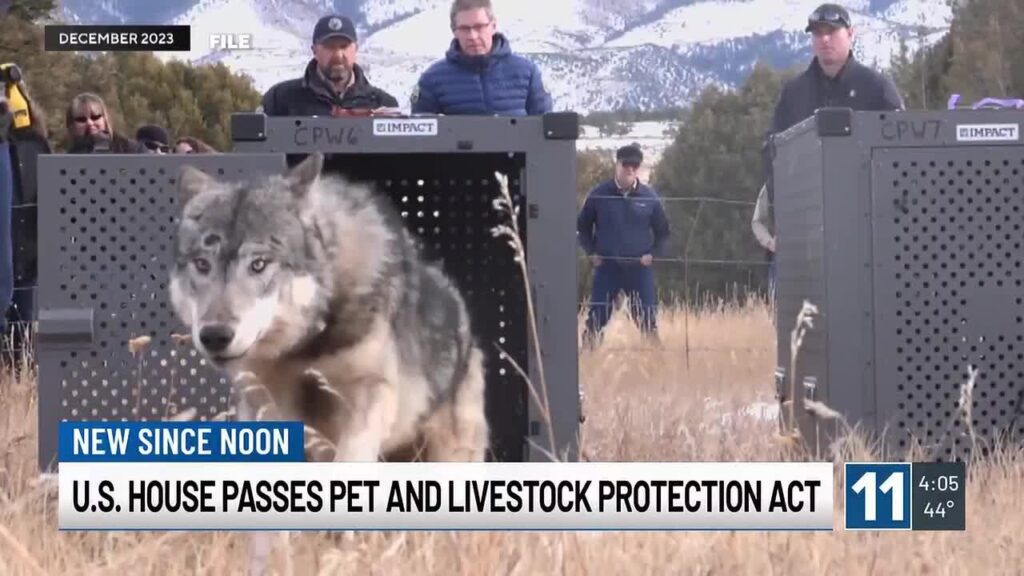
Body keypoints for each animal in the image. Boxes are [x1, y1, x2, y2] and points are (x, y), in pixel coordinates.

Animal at [168, 152, 489, 463]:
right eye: (202, 264)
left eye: (258, 264)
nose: (214, 336)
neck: (307, 347)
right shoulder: (265, 404)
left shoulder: (370, 390)